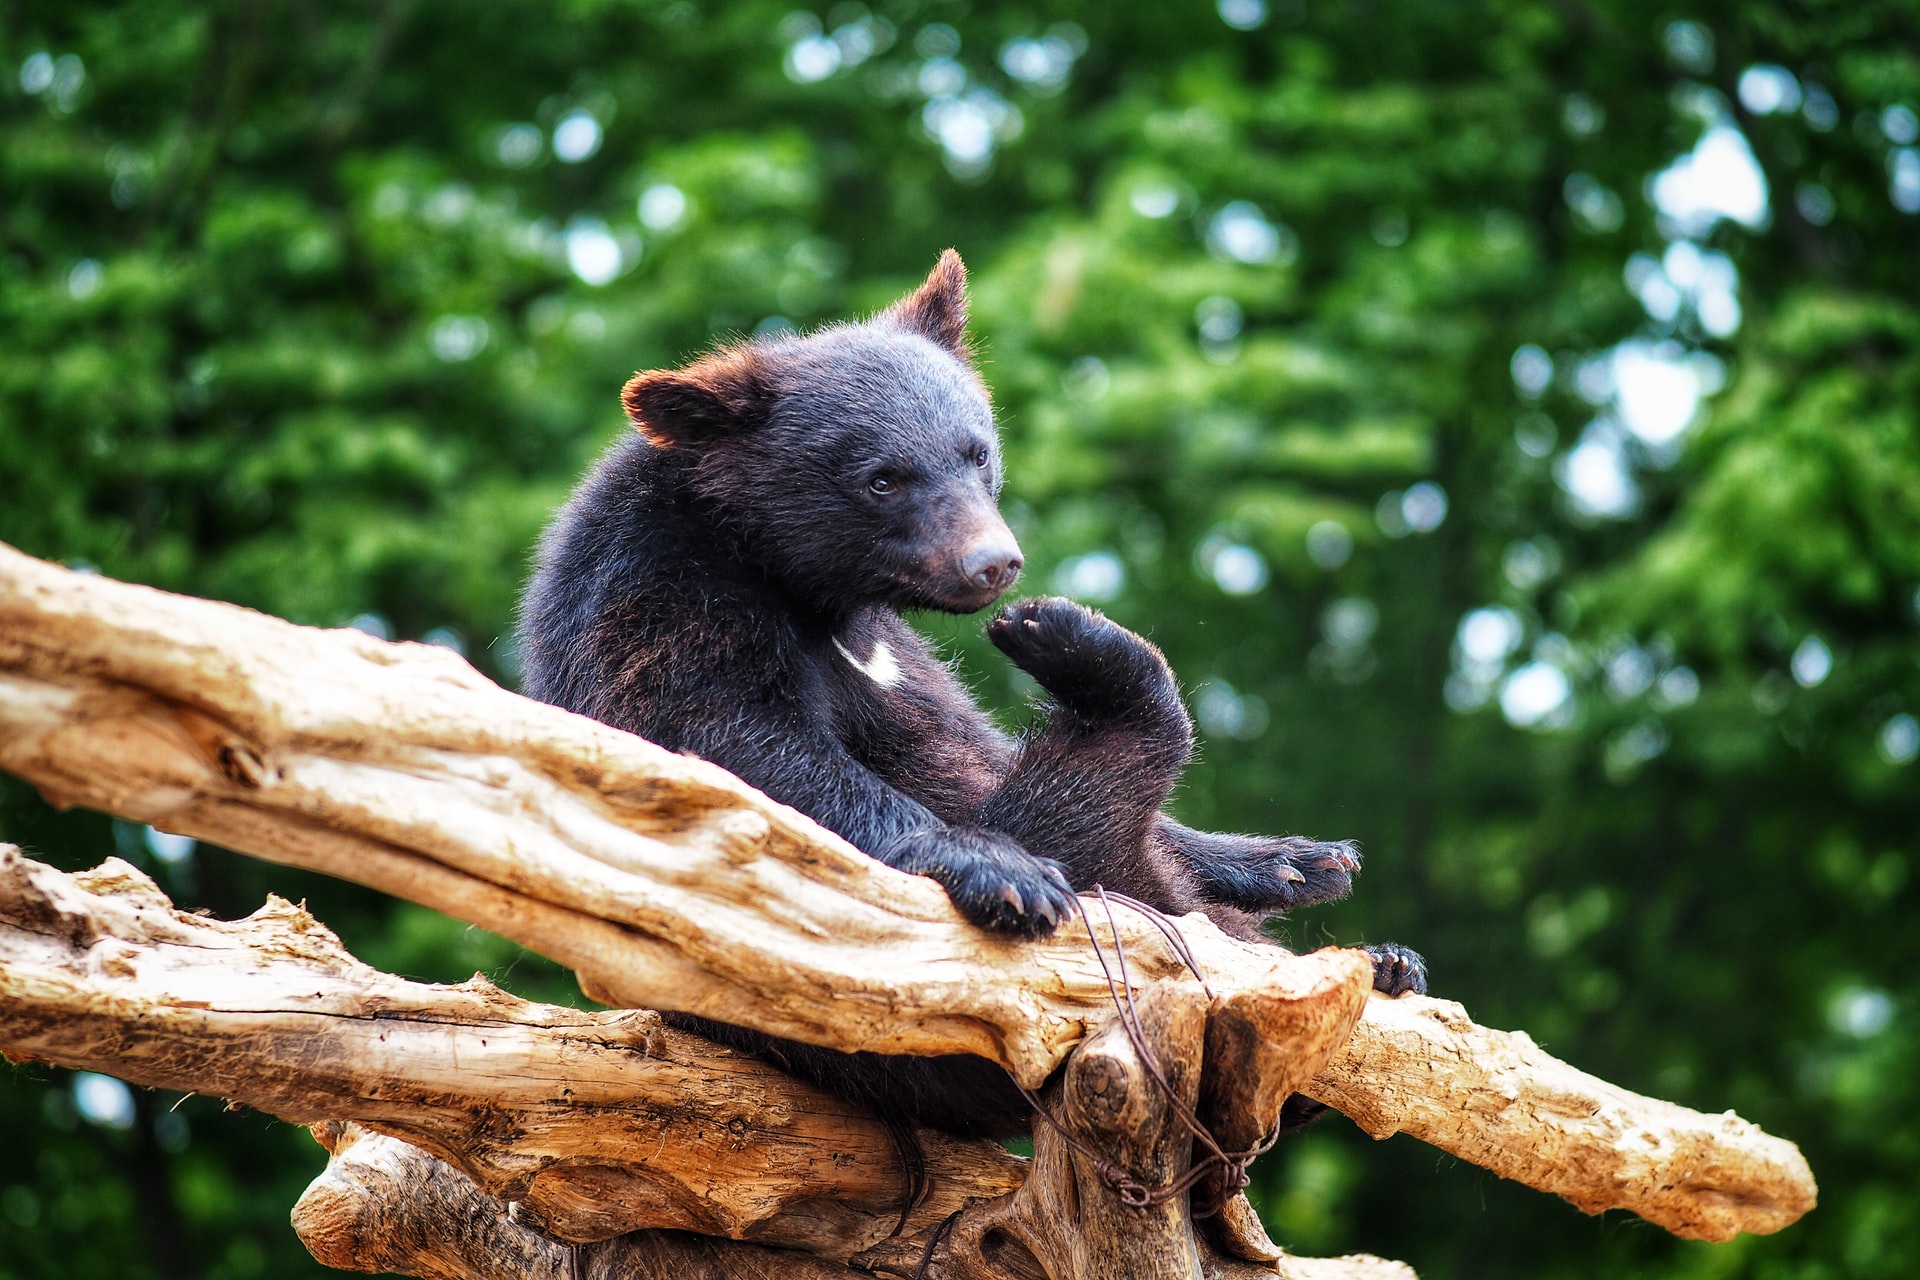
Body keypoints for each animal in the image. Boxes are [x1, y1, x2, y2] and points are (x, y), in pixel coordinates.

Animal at [518, 250, 1424, 1137]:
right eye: (882, 478)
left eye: (977, 451)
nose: (994, 564)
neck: (814, 595)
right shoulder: (659, 606)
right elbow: (736, 748)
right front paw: (1000, 867)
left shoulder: (904, 660)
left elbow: (967, 737)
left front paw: (1297, 858)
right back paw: (1090, 658)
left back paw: (1383, 959)